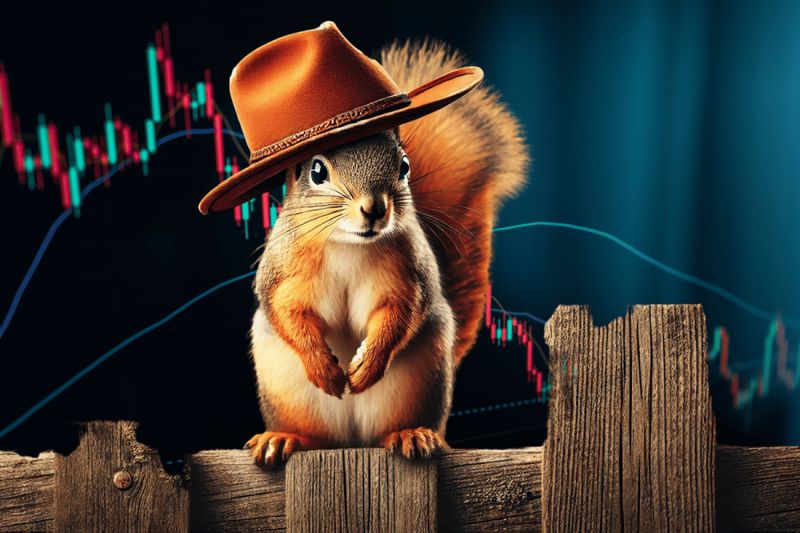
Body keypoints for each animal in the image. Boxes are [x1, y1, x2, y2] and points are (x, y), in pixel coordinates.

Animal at [245, 40, 529, 467]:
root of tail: (352, 442)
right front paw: (323, 366)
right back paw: (283, 438)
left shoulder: (408, 275)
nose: (375, 209)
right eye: (316, 171)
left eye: (404, 166)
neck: (348, 244)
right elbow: (285, 311)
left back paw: (412, 434)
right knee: (314, 435)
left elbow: (400, 314)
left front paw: (367, 364)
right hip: (288, 391)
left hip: (418, 382)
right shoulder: (282, 272)